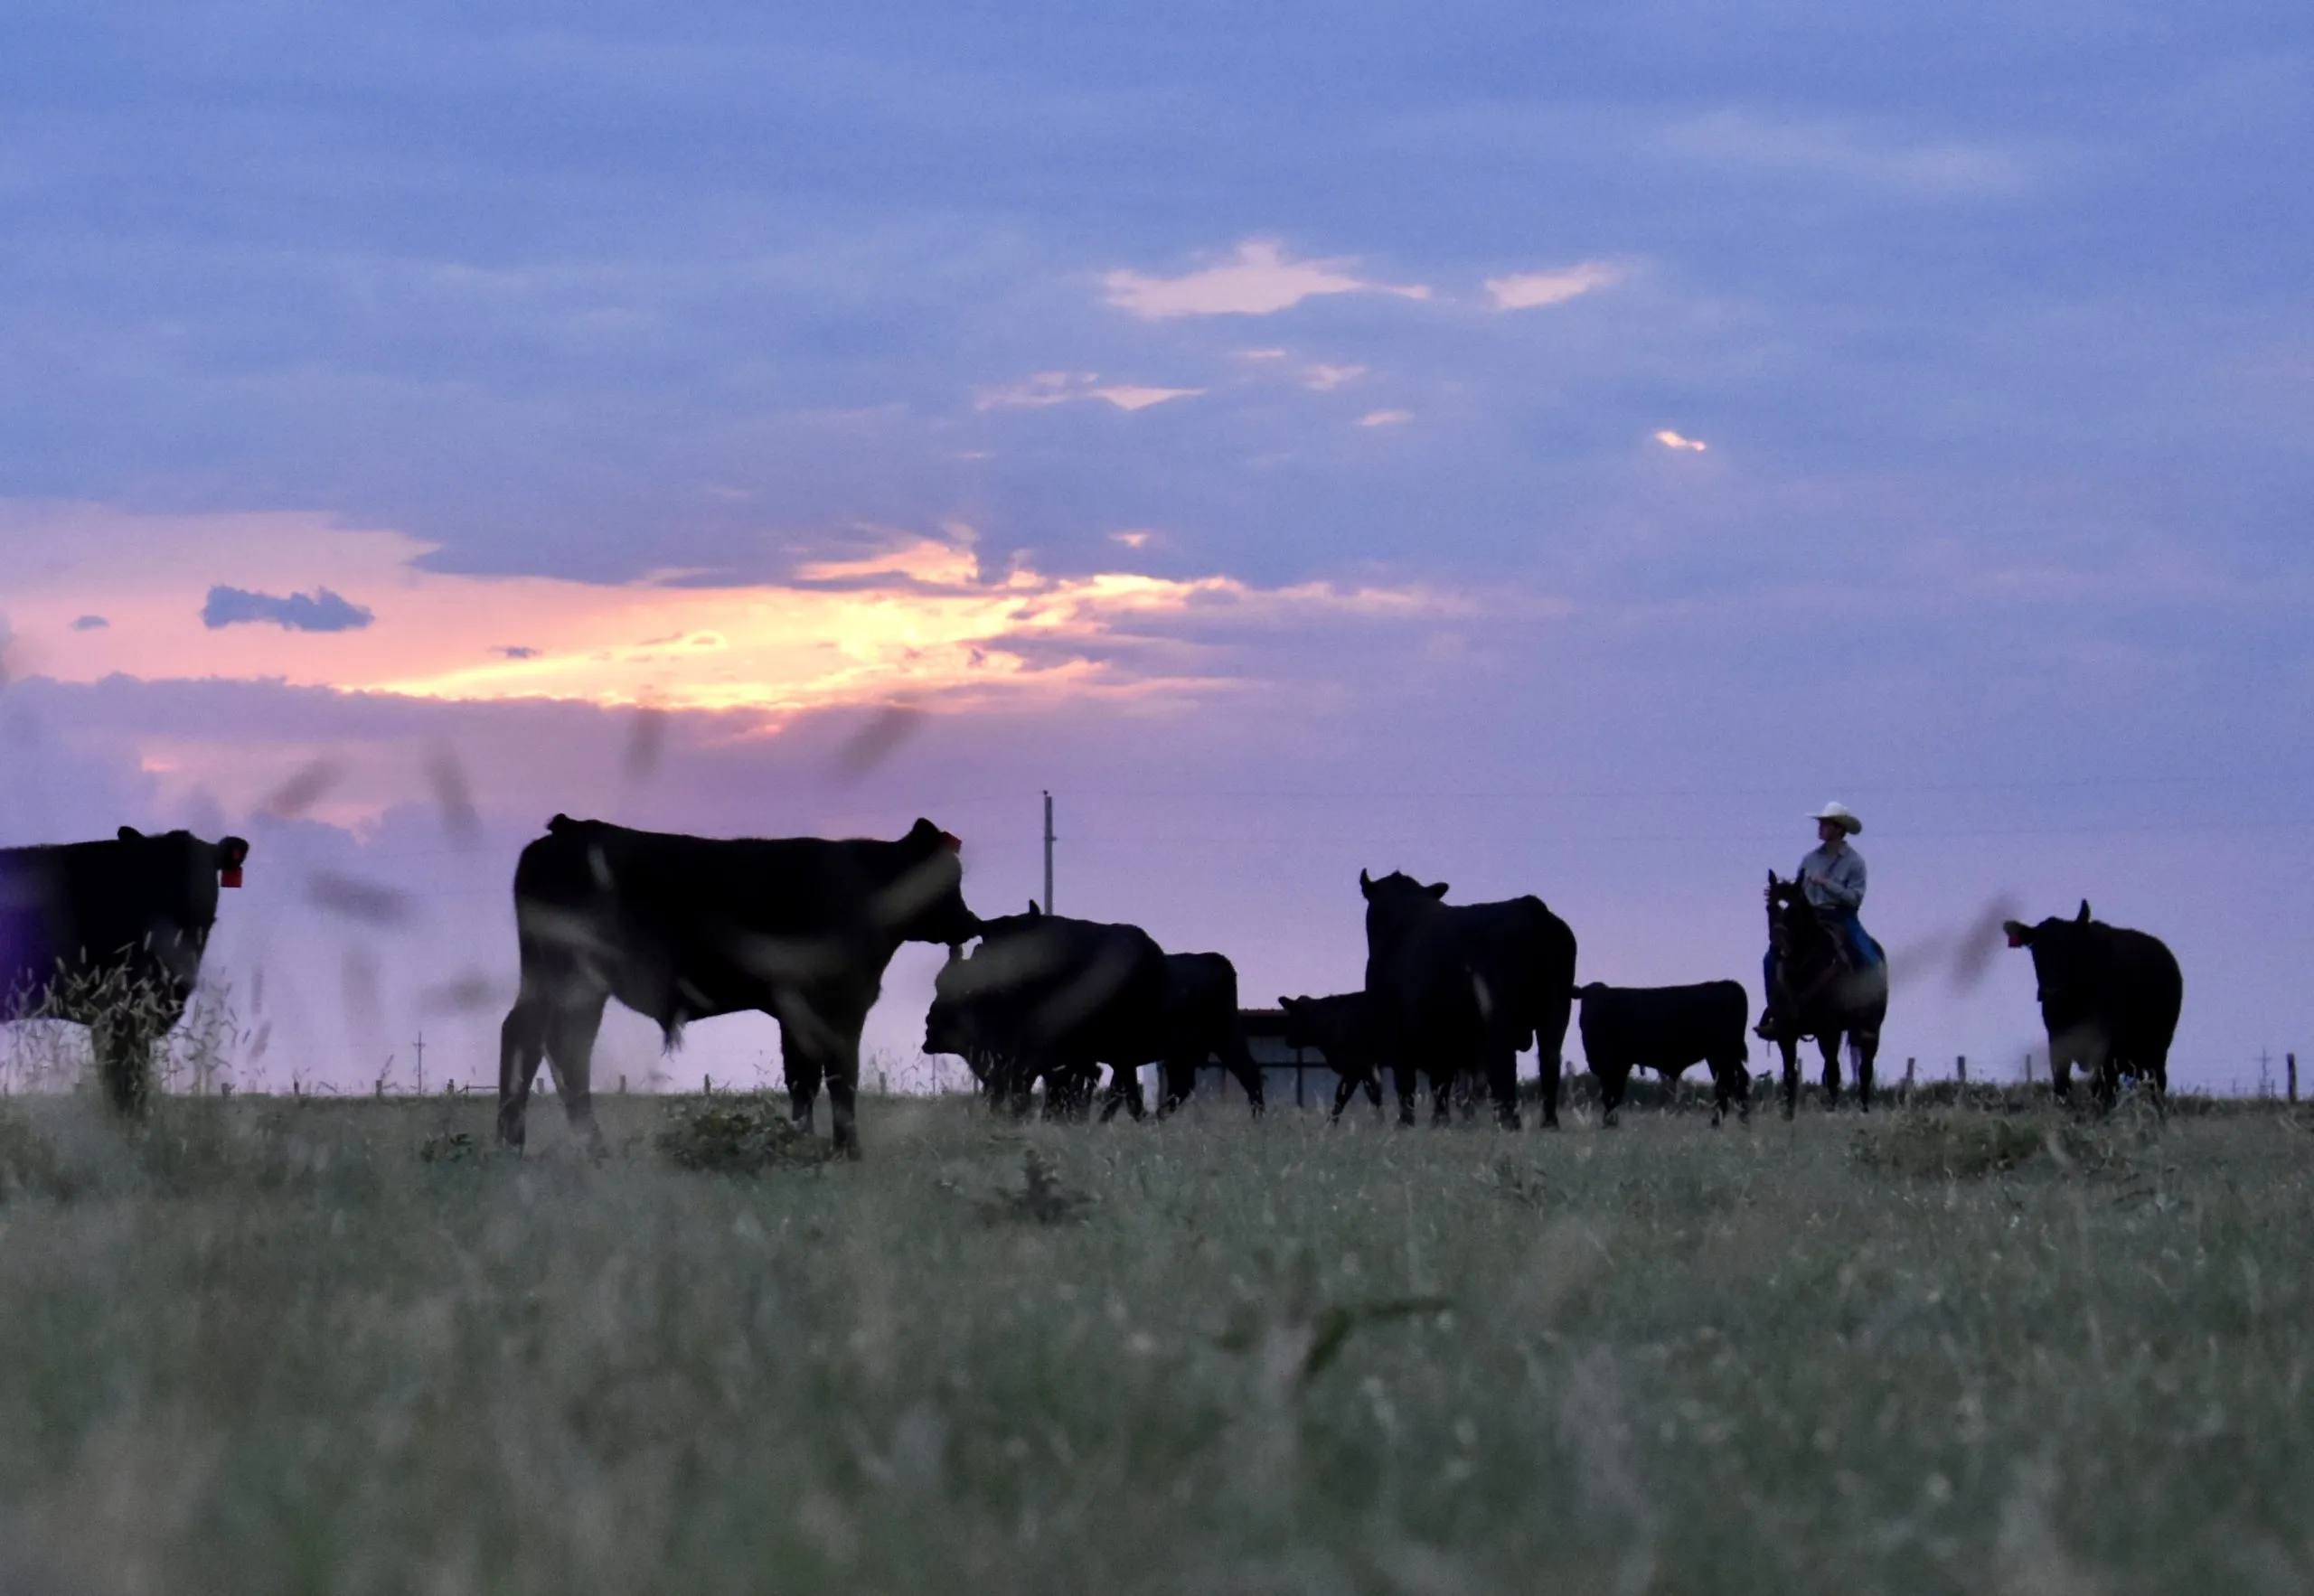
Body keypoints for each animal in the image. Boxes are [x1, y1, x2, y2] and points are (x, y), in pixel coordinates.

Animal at [498, 815, 977, 1157]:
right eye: (947, 880)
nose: (970, 922)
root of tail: (567, 829)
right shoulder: (838, 1006)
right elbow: (841, 1076)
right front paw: (847, 1150)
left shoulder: (795, 1014)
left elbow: (802, 1079)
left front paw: (802, 1142)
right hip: (567, 976)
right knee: (543, 1040)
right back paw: (527, 1141)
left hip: (564, 981)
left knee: (550, 1042)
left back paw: (560, 1143)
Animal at [1359, 870, 1578, 1130]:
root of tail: (1533, 908)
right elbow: (1441, 1083)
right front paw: (1439, 1121)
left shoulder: (1400, 1034)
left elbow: (1410, 1084)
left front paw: (1408, 1123)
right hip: (1556, 1012)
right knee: (1549, 1063)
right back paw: (1548, 1123)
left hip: (1500, 1015)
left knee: (1505, 1063)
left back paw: (1509, 1122)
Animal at [1576, 980, 1750, 1127]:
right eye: (1585, 999)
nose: (1589, 1015)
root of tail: (1728, 984)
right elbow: (1611, 1094)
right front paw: (1610, 1122)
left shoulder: (1617, 1064)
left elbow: (1612, 1094)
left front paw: (1609, 1123)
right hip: (1721, 1057)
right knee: (1735, 1082)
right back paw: (1737, 1119)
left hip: (1723, 1055)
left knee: (1729, 1085)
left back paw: (1723, 1122)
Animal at [2003, 902, 2182, 1108]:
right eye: (2036, 950)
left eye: (2070, 948)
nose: (2051, 991)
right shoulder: (2057, 1042)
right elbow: (2062, 1083)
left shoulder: (2106, 1047)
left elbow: (2104, 1086)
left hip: (2158, 1048)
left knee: (2156, 1083)